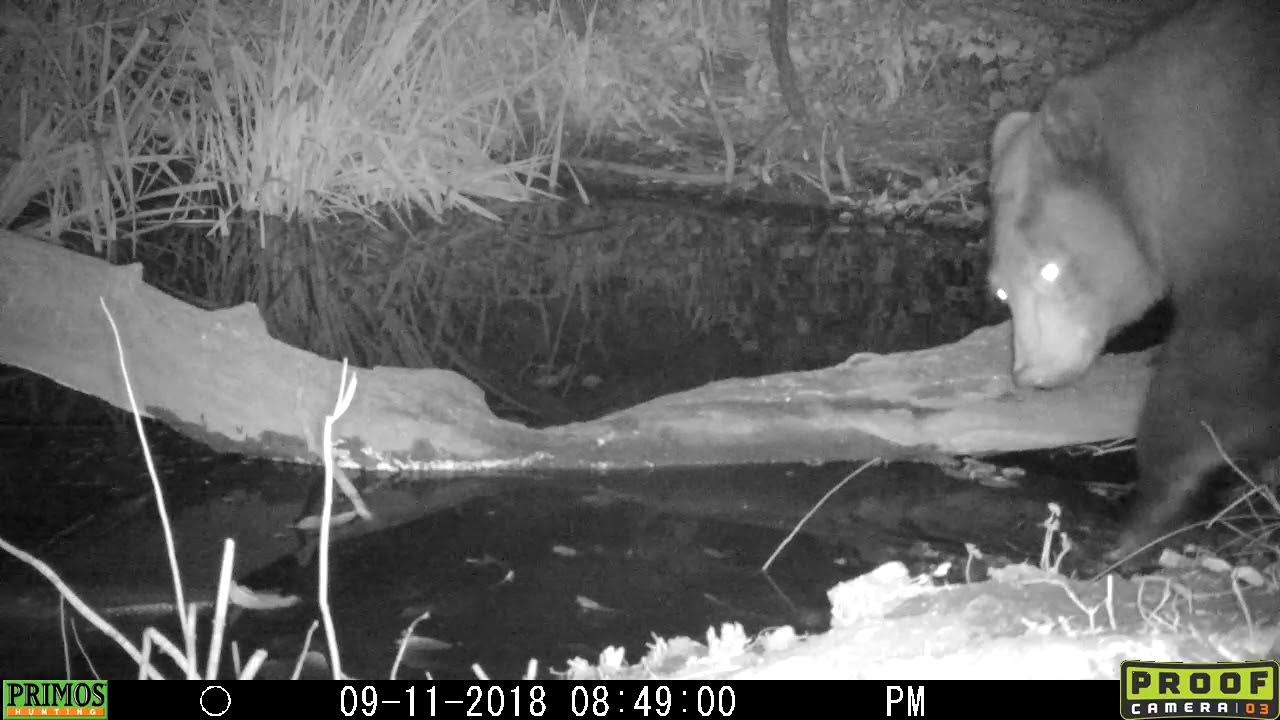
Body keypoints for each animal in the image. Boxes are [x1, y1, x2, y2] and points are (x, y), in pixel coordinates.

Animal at [985, 0, 1280, 559]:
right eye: (1000, 289)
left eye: (1051, 268)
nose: (1030, 374)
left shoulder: (1247, 239)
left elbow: (1216, 367)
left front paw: (1137, 522)